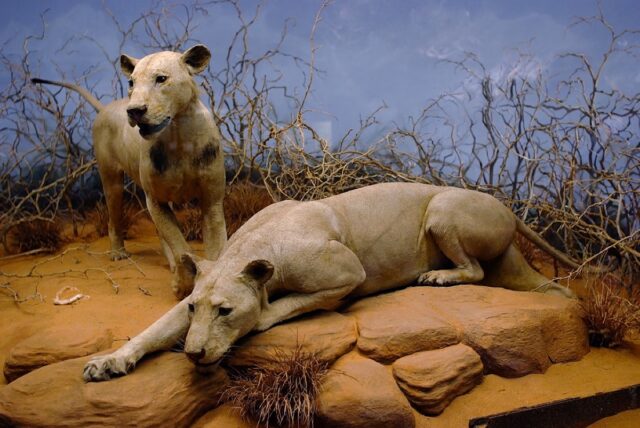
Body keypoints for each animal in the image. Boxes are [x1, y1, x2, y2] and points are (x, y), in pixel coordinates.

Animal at [32, 45, 226, 299]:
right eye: (132, 82)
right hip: (112, 181)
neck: (178, 136)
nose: (134, 110)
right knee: (114, 219)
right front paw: (183, 283)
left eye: (161, 79)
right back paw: (118, 253)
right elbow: (180, 245)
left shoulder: (212, 200)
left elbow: (215, 247)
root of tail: (106, 108)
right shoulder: (154, 200)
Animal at [83, 182, 596, 382]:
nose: (193, 354)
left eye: (226, 311)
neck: (253, 248)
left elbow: (282, 307)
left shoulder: (348, 272)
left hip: (444, 210)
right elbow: (152, 330)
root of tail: (508, 209)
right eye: (195, 309)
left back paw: (437, 276)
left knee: (476, 270)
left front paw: (262, 313)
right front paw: (108, 363)